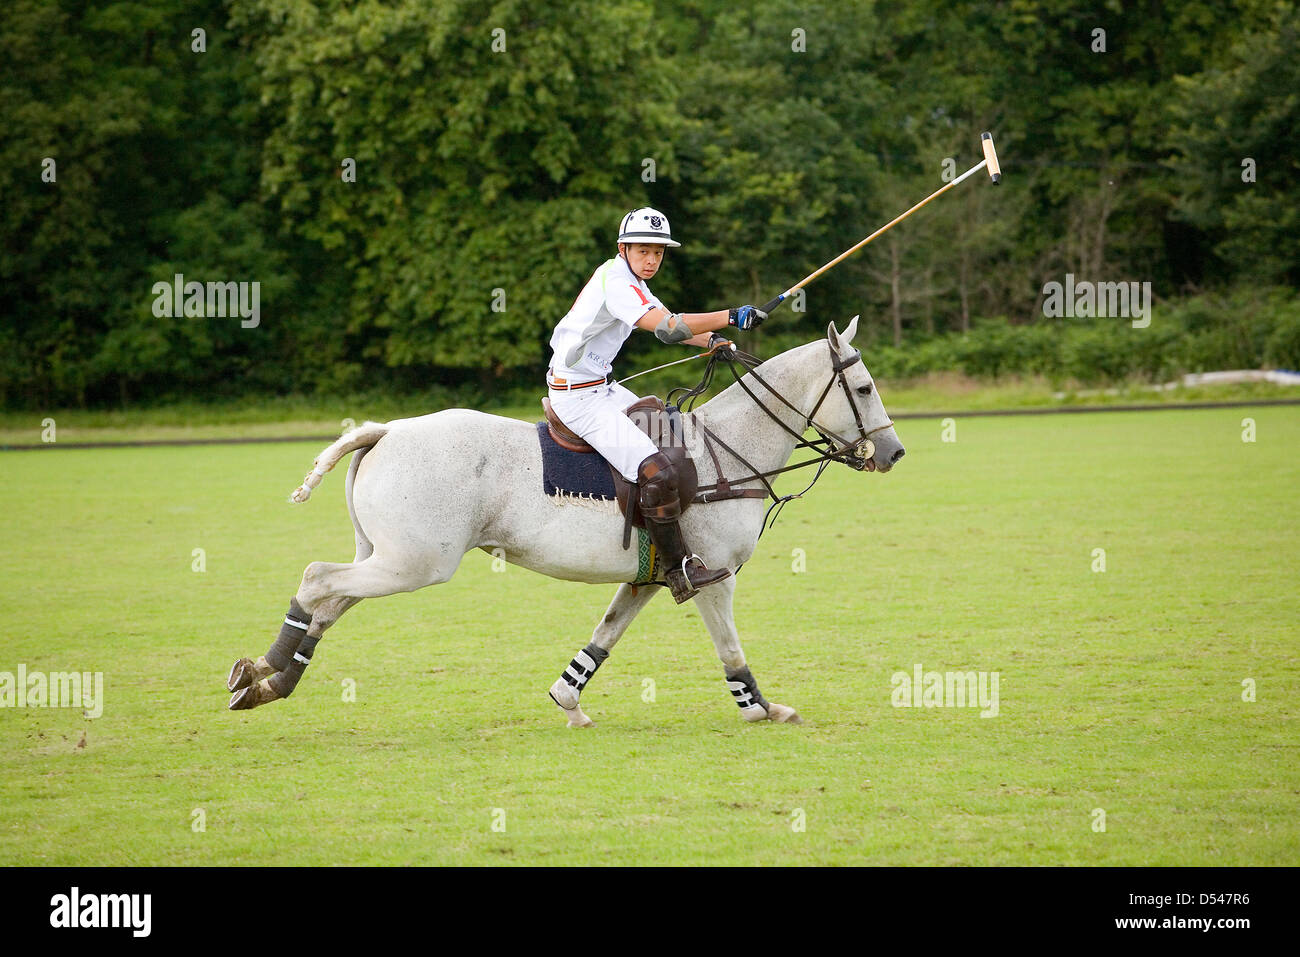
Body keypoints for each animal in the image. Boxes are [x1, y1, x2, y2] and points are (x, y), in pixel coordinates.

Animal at [226, 317, 905, 726]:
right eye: (865, 389)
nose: (894, 453)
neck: (728, 450)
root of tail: (385, 430)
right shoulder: (713, 575)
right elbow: (730, 648)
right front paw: (762, 708)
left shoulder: (650, 576)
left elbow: (604, 635)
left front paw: (568, 700)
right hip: (418, 562)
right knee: (317, 580)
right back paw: (259, 673)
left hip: (386, 555)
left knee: (330, 602)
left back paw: (267, 683)